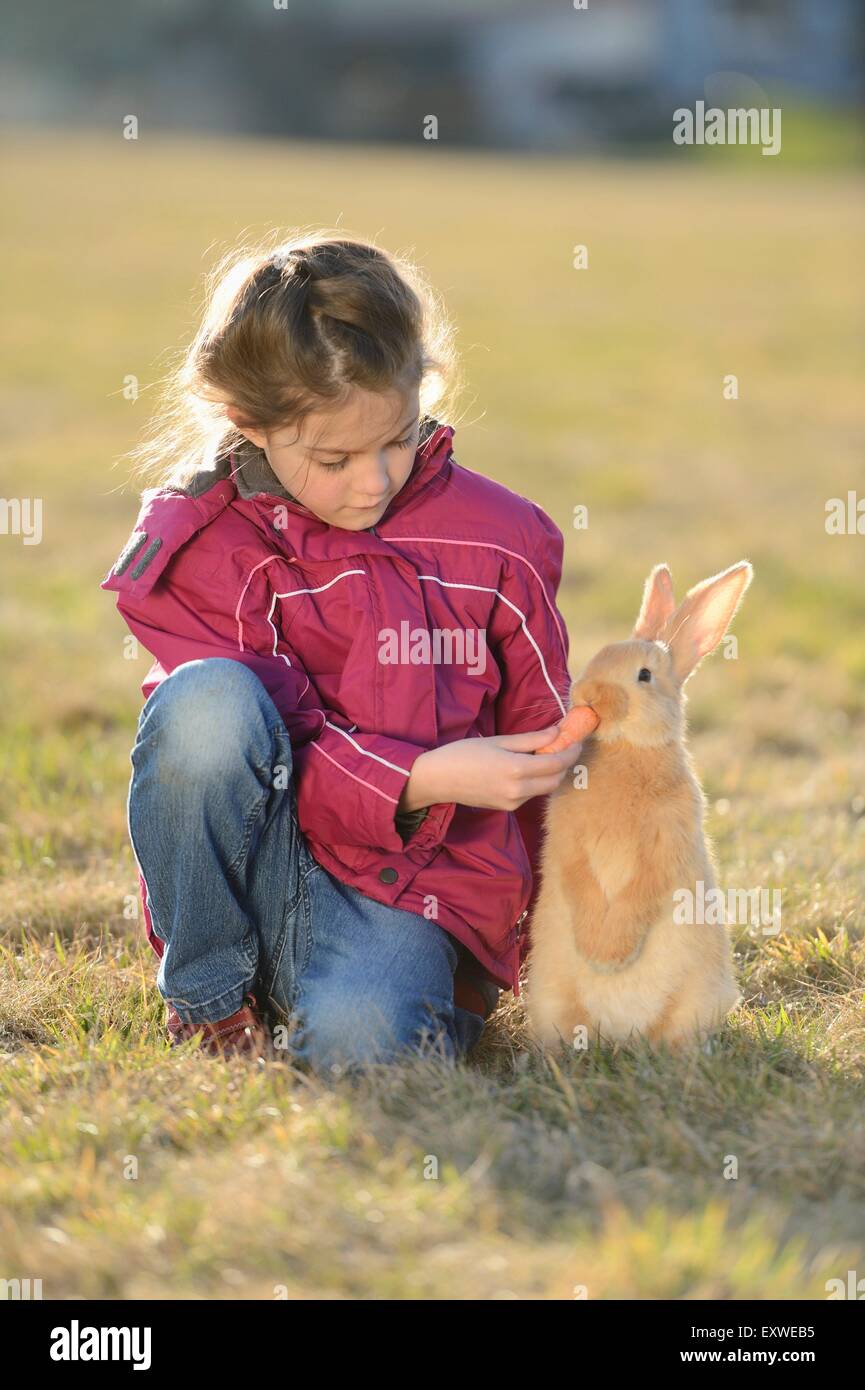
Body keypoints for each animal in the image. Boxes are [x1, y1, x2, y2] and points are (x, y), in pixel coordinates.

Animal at [524, 559, 753, 1053]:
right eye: (600, 654)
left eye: (644, 676)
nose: (590, 696)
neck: (626, 748)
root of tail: (620, 1032)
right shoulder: (568, 839)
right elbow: (580, 879)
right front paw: (599, 950)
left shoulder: (667, 843)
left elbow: (641, 891)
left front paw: (610, 955)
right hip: (550, 998)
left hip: (698, 997)